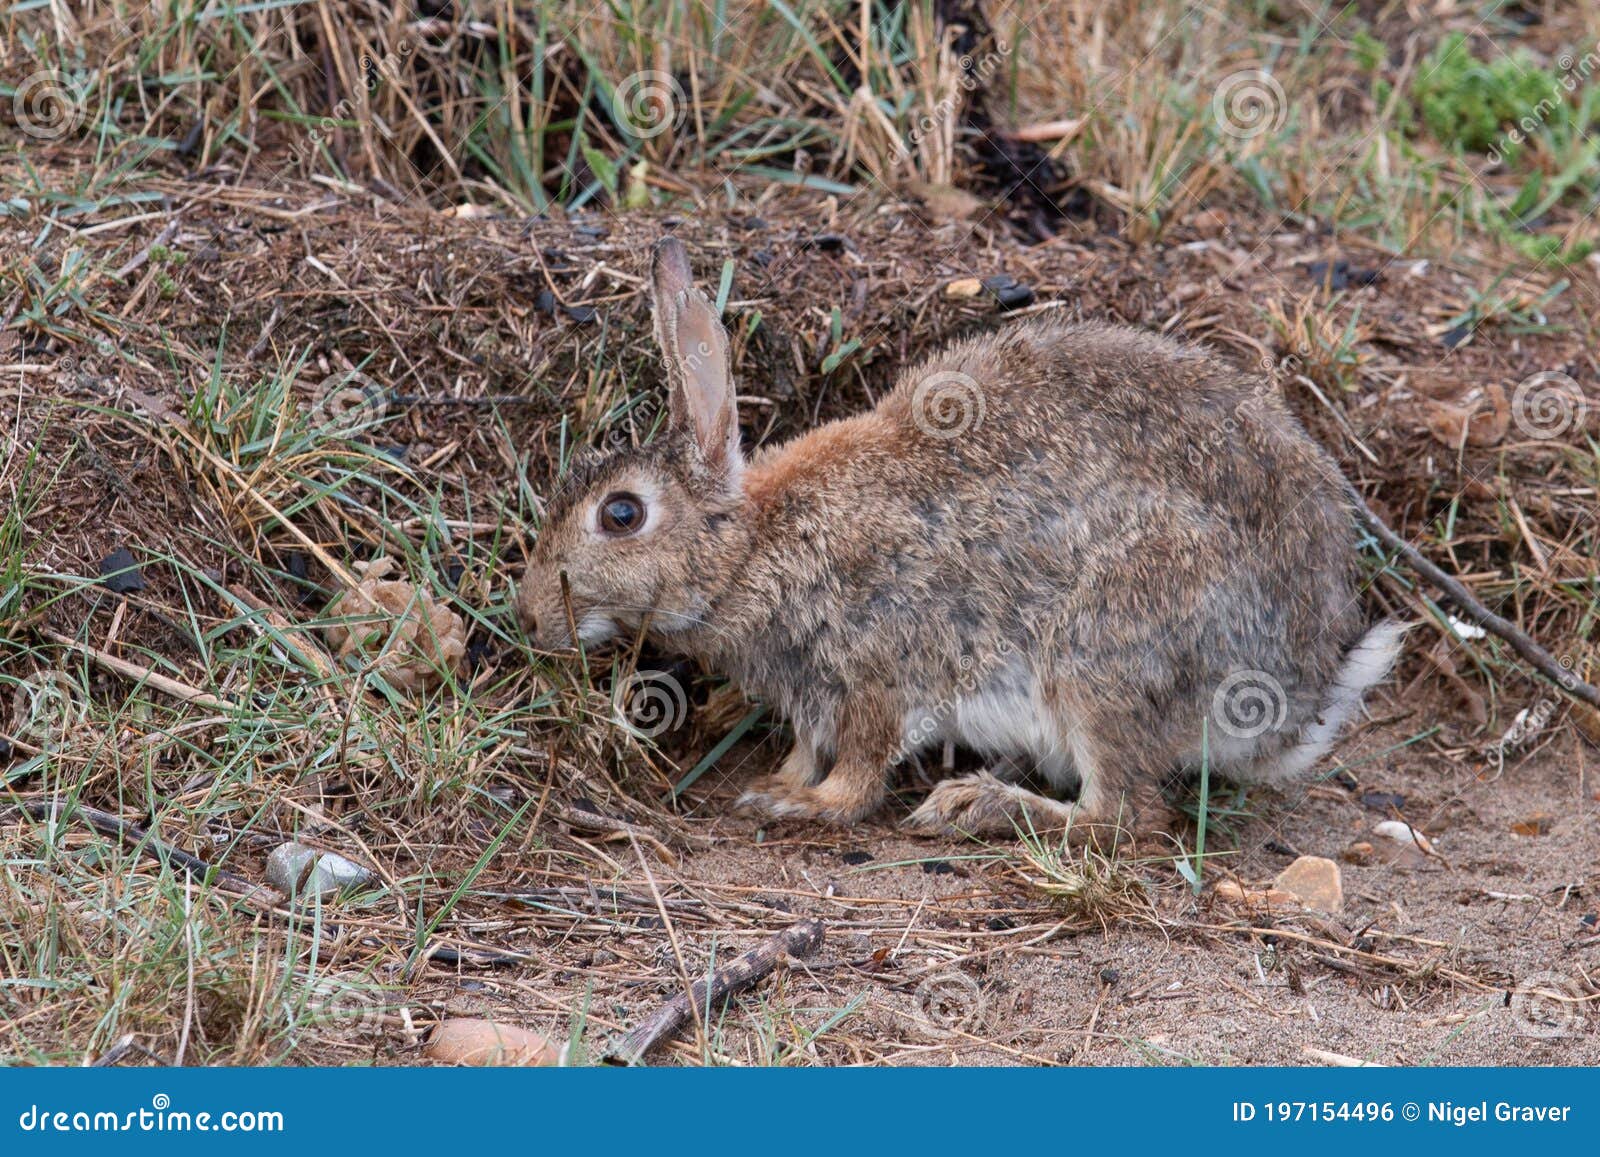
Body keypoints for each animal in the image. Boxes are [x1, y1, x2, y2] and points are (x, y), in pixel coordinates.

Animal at [516, 236, 1404, 843]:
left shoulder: (879, 668)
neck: (754, 545)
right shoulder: (812, 691)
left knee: (1124, 815)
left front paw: (799, 802)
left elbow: (860, 769)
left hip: (1106, 652)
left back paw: (977, 803)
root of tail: (1293, 701)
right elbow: (807, 743)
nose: (528, 616)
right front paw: (781, 780)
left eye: (621, 514)